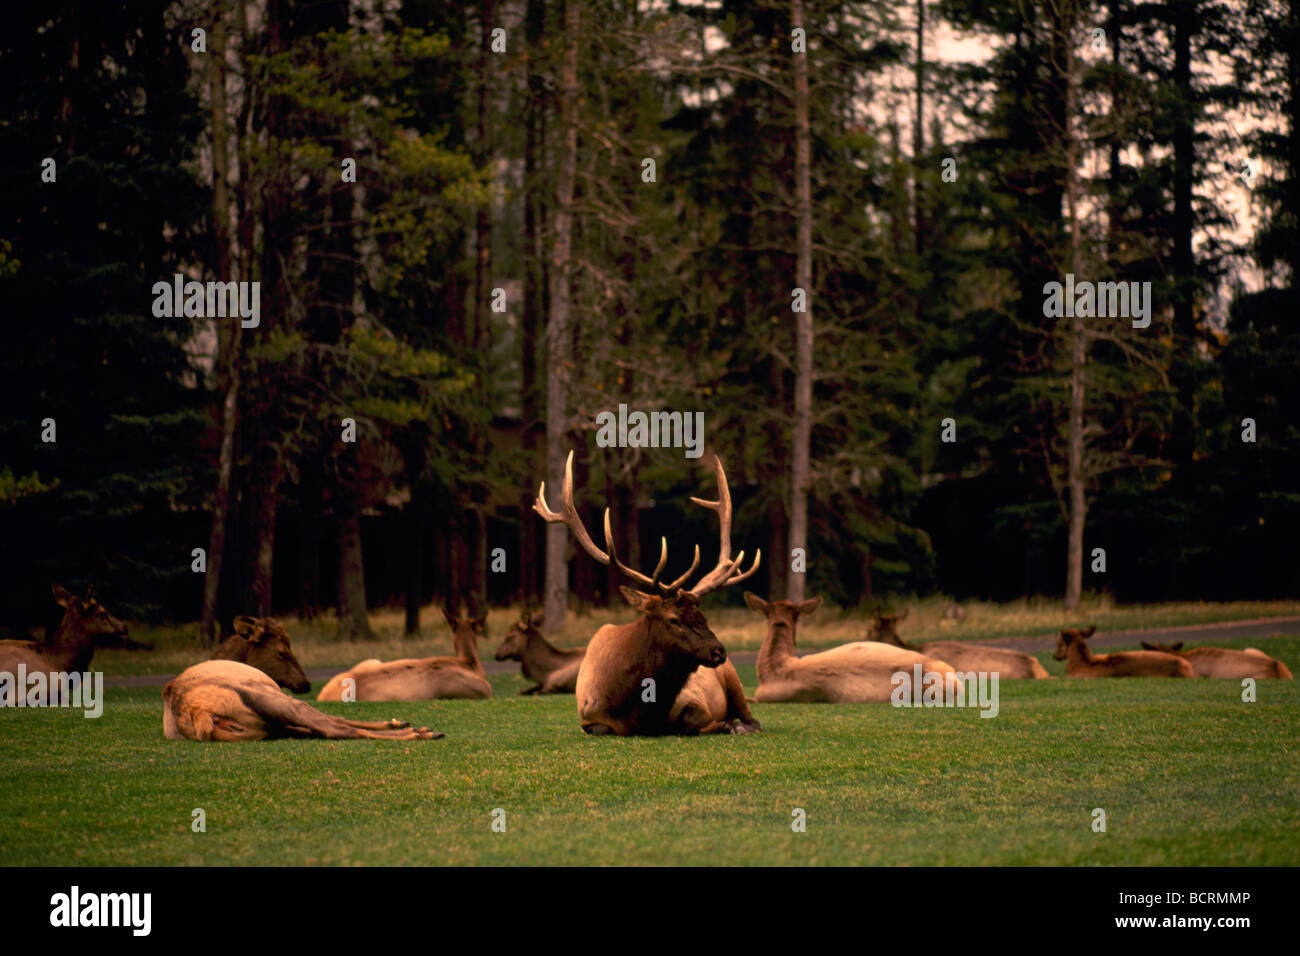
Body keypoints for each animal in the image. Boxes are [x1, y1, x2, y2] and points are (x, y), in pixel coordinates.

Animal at [163, 661, 442, 741]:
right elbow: (335, 718)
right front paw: (402, 725)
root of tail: (197, 710)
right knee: (333, 728)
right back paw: (420, 734)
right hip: (272, 702)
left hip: (265, 725)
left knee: (323, 727)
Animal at [535, 450, 761, 736]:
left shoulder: (692, 699)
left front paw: (727, 724)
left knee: (751, 717)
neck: (637, 709)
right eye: (673, 620)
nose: (719, 651)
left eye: (704, 618)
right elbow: (602, 728)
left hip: (733, 679)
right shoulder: (589, 717)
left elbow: (694, 720)